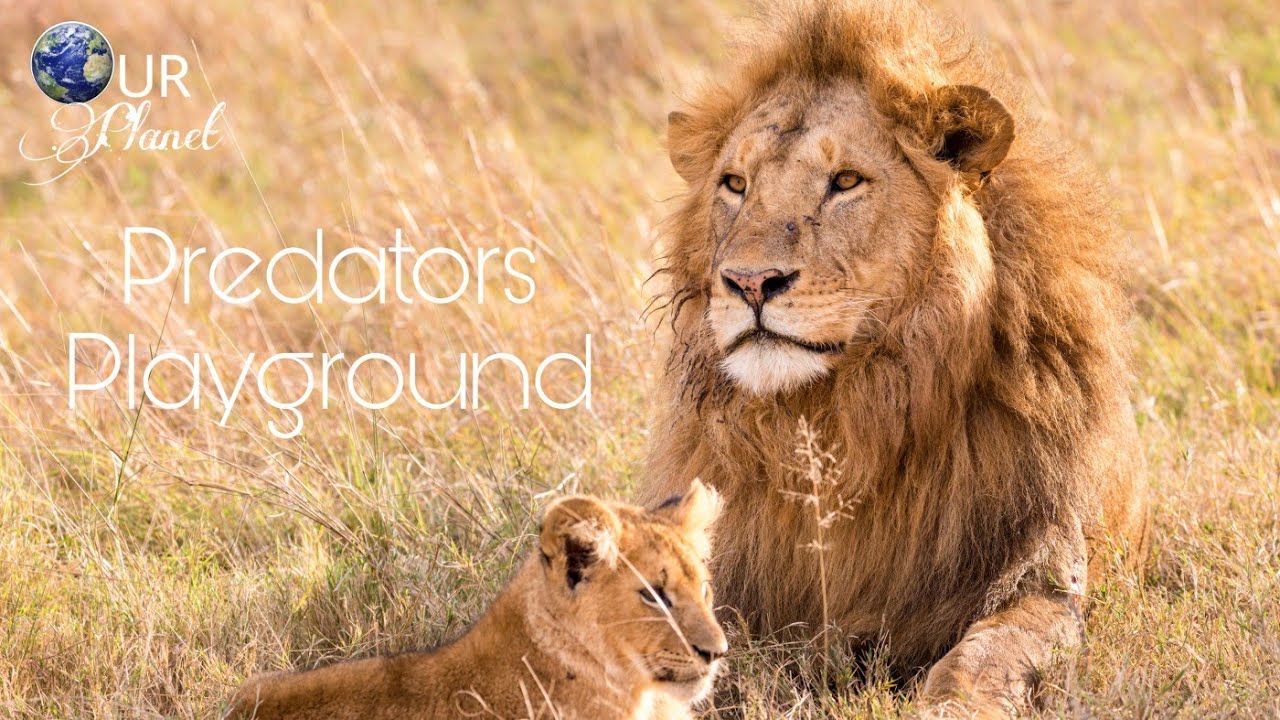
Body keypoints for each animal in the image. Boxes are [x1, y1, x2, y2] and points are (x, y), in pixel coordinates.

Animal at [641, 0, 1150, 714]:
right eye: (734, 184)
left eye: (846, 181)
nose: (749, 282)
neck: (840, 419)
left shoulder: (1042, 572)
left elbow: (984, 658)